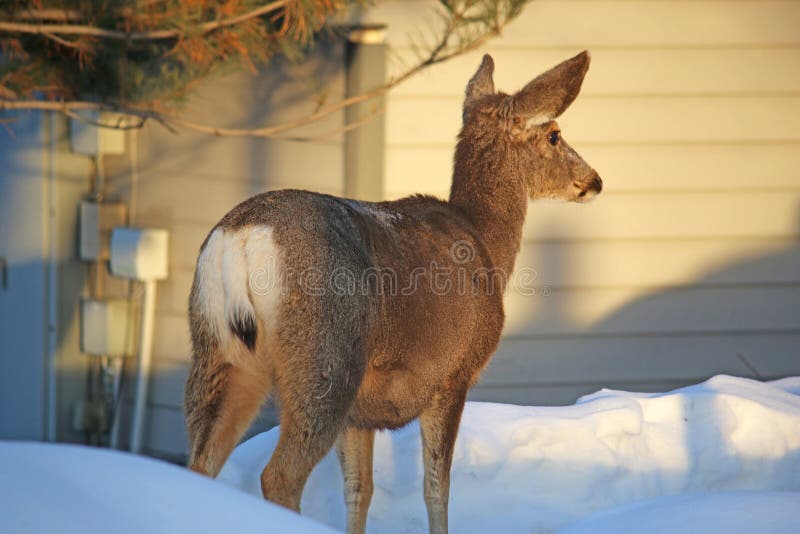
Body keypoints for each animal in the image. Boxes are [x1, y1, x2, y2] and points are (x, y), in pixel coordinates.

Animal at [184, 51, 602, 534]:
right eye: (554, 135)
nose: (595, 180)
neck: (485, 245)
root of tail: (244, 237)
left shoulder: (362, 411)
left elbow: (359, 490)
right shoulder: (454, 374)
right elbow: (436, 488)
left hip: (217, 351)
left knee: (199, 464)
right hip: (325, 358)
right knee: (279, 475)